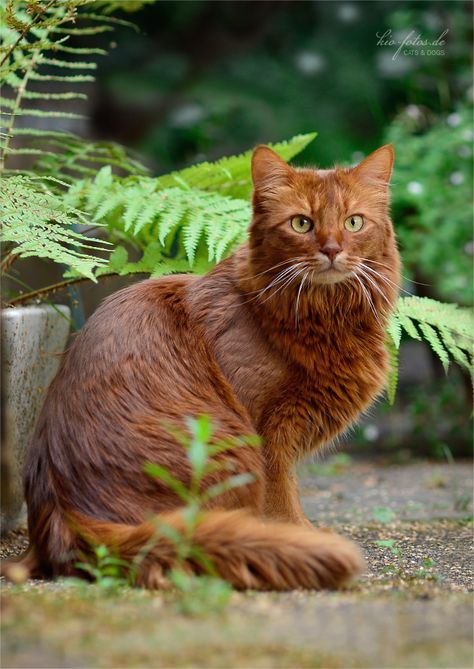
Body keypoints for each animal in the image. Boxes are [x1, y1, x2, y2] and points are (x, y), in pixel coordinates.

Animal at [8, 142, 400, 588]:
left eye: (354, 222)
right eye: (302, 223)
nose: (332, 249)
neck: (325, 318)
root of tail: (63, 517)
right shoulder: (268, 434)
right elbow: (282, 503)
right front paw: (300, 534)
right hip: (231, 445)